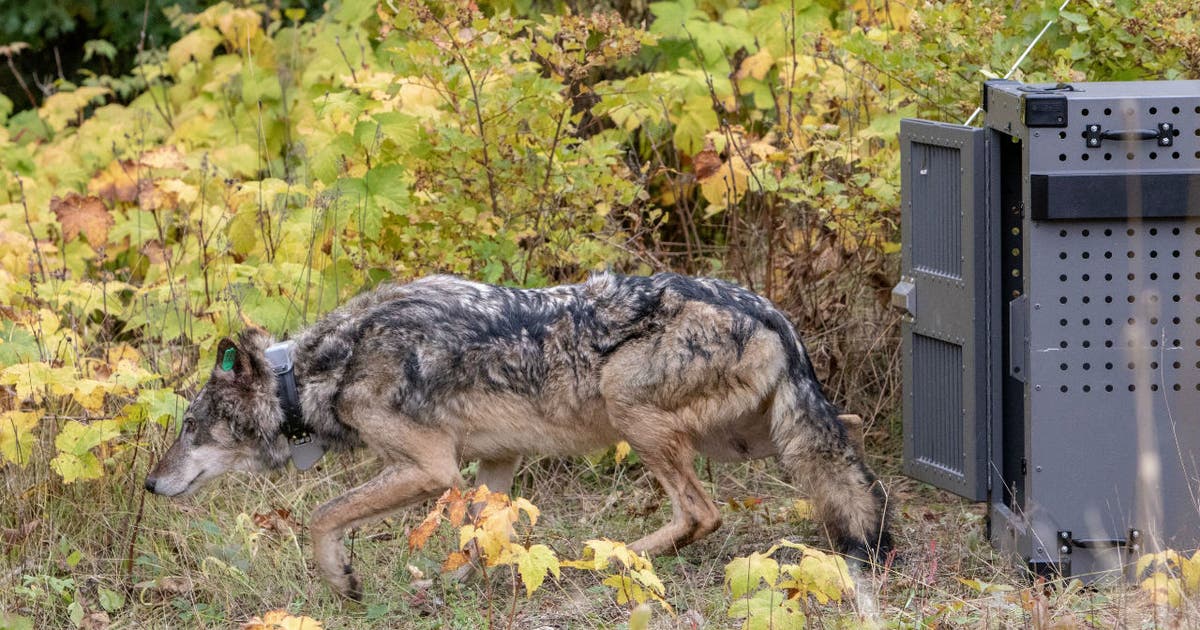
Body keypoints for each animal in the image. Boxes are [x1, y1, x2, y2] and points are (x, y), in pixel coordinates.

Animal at [145, 272, 892, 600]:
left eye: (192, 428)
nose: (150, 485)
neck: (319, 371)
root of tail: (771, 312)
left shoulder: (433, 469)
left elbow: (324, 516)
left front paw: (342, 579)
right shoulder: (494, 462)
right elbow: (480, 534)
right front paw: (452, 585)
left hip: (636, 413)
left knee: (700, 514)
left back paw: (614, 558)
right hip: (757, 439)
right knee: (851, 456)